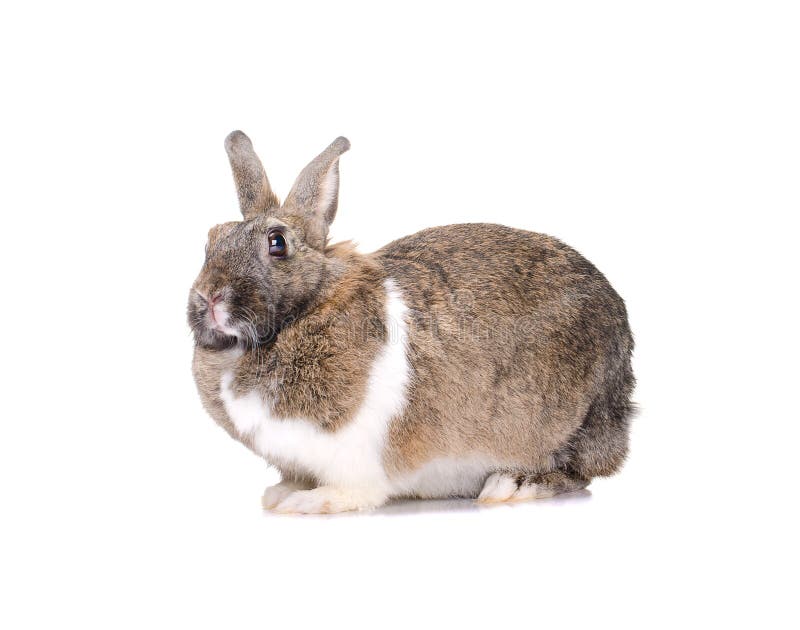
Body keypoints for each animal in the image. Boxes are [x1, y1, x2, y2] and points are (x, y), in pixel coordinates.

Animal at [188, 131, 635, 514]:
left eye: (277, 243)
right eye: (211, 240)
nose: (209, 297)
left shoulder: (354, 454)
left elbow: (355, 489)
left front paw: (309, 502)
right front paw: (280, 494)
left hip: (572, 423)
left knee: (576, 472)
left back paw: (512, 485)